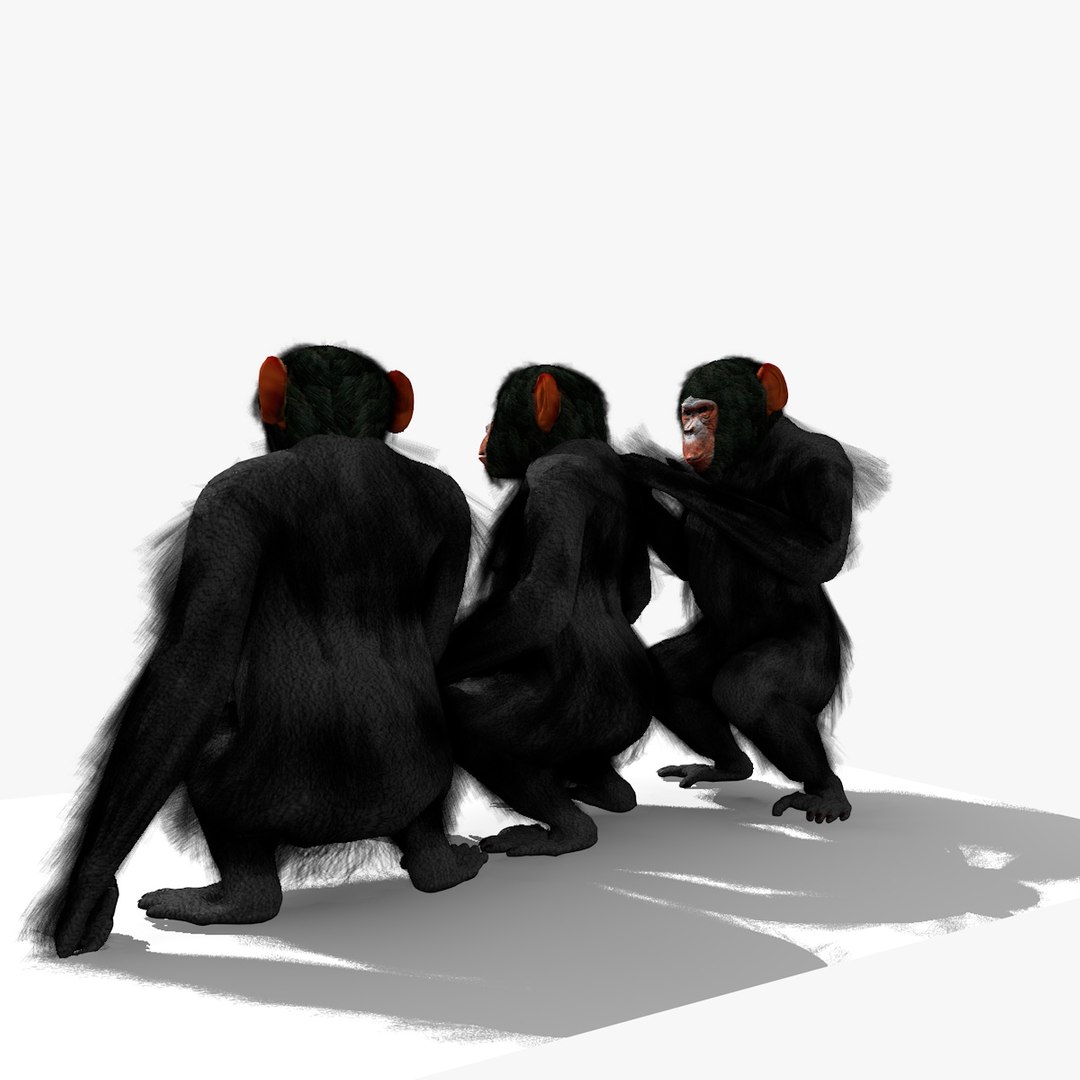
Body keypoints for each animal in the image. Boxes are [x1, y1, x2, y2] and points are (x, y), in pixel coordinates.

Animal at [27, 344, 486, 958]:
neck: (340, 434)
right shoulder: (454, 507)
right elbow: (435, 631)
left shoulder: (224, 503)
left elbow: (189, 669)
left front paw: (81, 903)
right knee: (426, 827)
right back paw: (442, 864)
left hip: (248, 788)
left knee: (205, 769)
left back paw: (228, 901)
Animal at [439, 365, 654, 857]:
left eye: (500, 409)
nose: (484, 431)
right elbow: (636, 591)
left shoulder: (553, 478)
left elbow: (539, 602)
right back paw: (604, 790)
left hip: (563, 719)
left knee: (465, 714)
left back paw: (567, 830)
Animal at [623, 356, 881, 824]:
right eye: (686, 412)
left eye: (704, 410)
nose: (690, 430)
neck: (753, 452)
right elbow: (685, 560)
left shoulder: (826, 460)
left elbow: (822, 553)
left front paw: (658, 470)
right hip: (716, 641)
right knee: (668, 673)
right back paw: (730, 765)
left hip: (816, 663)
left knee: (748, 691)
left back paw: (825, 791)